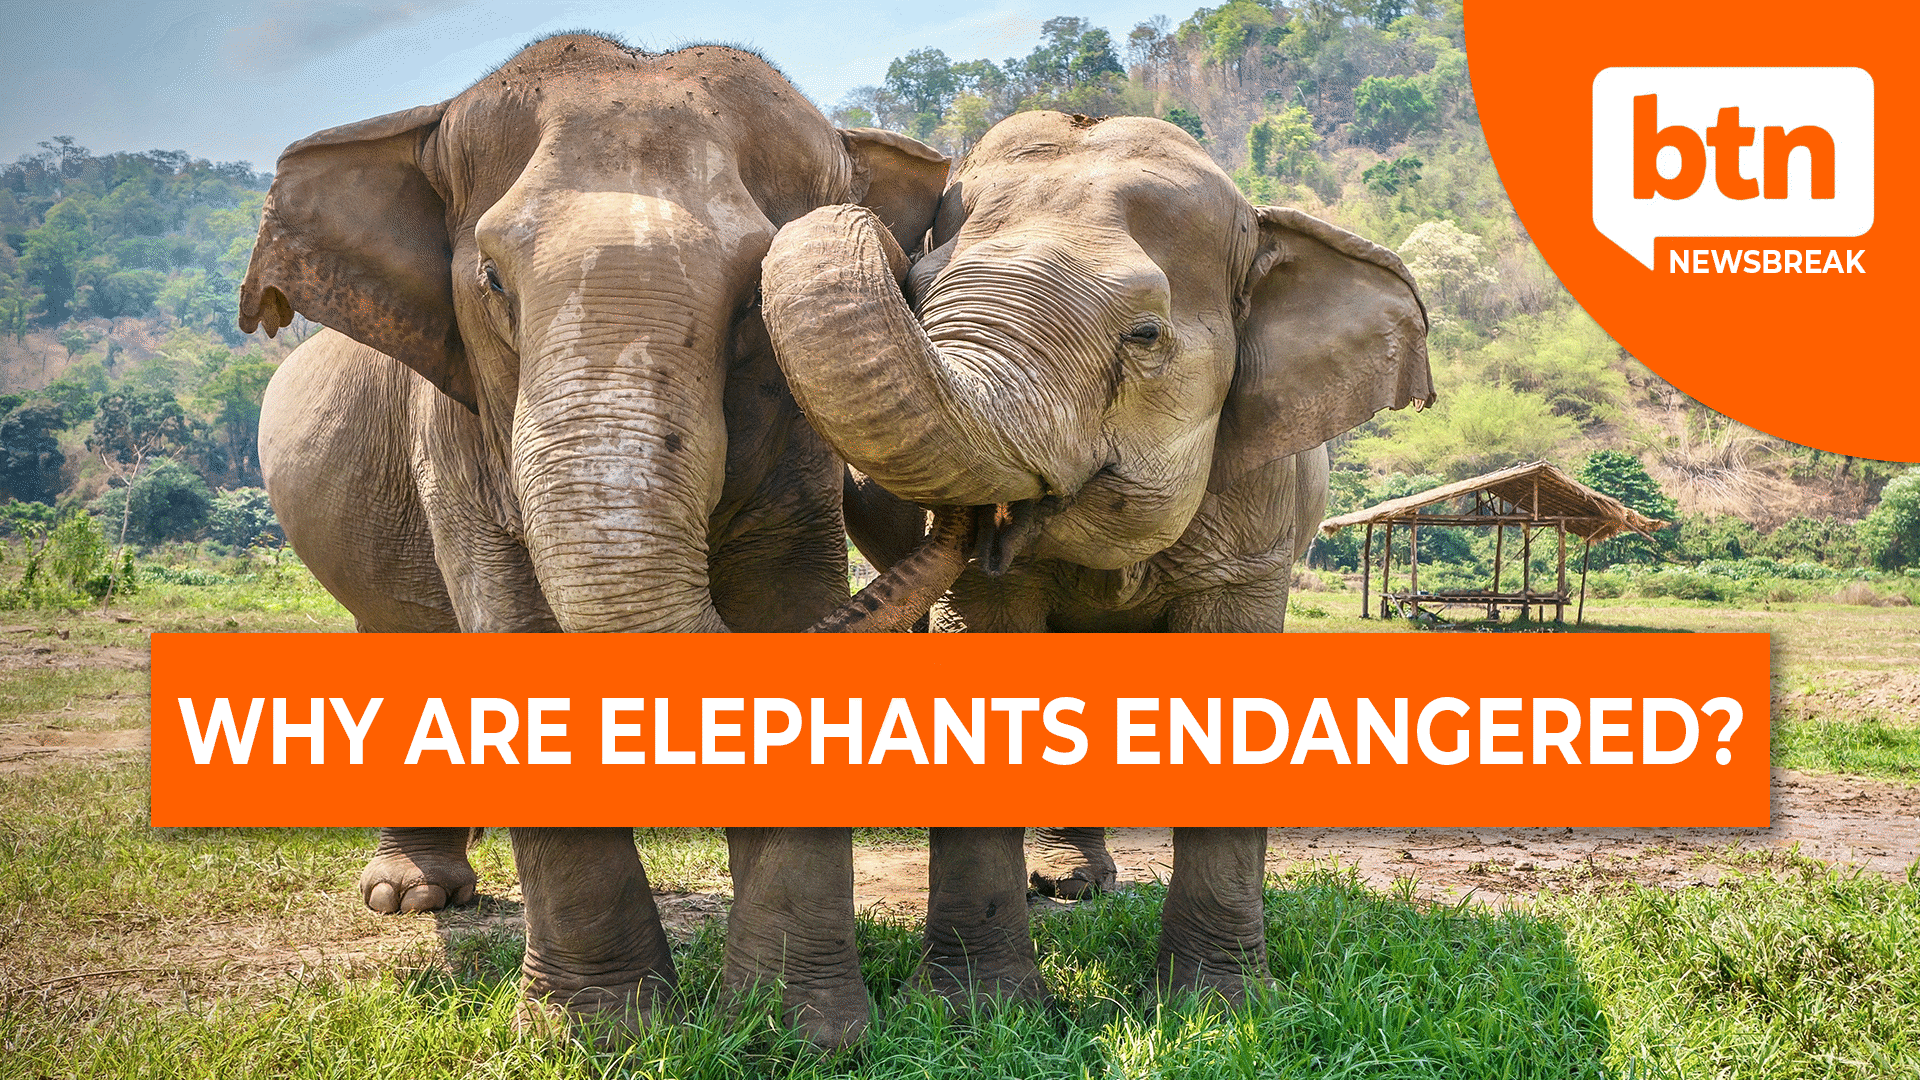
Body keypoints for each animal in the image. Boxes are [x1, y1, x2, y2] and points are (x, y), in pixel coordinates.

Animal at [242, 35, 957, 1046]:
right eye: (492, 281)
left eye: (753, 300)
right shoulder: (456, 429)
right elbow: (515, 642)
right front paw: (595, 1034)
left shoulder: (798, 456)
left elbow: (787, 602)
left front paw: (798, 1033)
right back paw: (409, 898)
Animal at [761, 110, 1433, 1002]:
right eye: (918, 293)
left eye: (1145, 334)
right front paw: (974, 1009)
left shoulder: (1258, 500)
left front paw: (1217, 1004)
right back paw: (1064, 884)